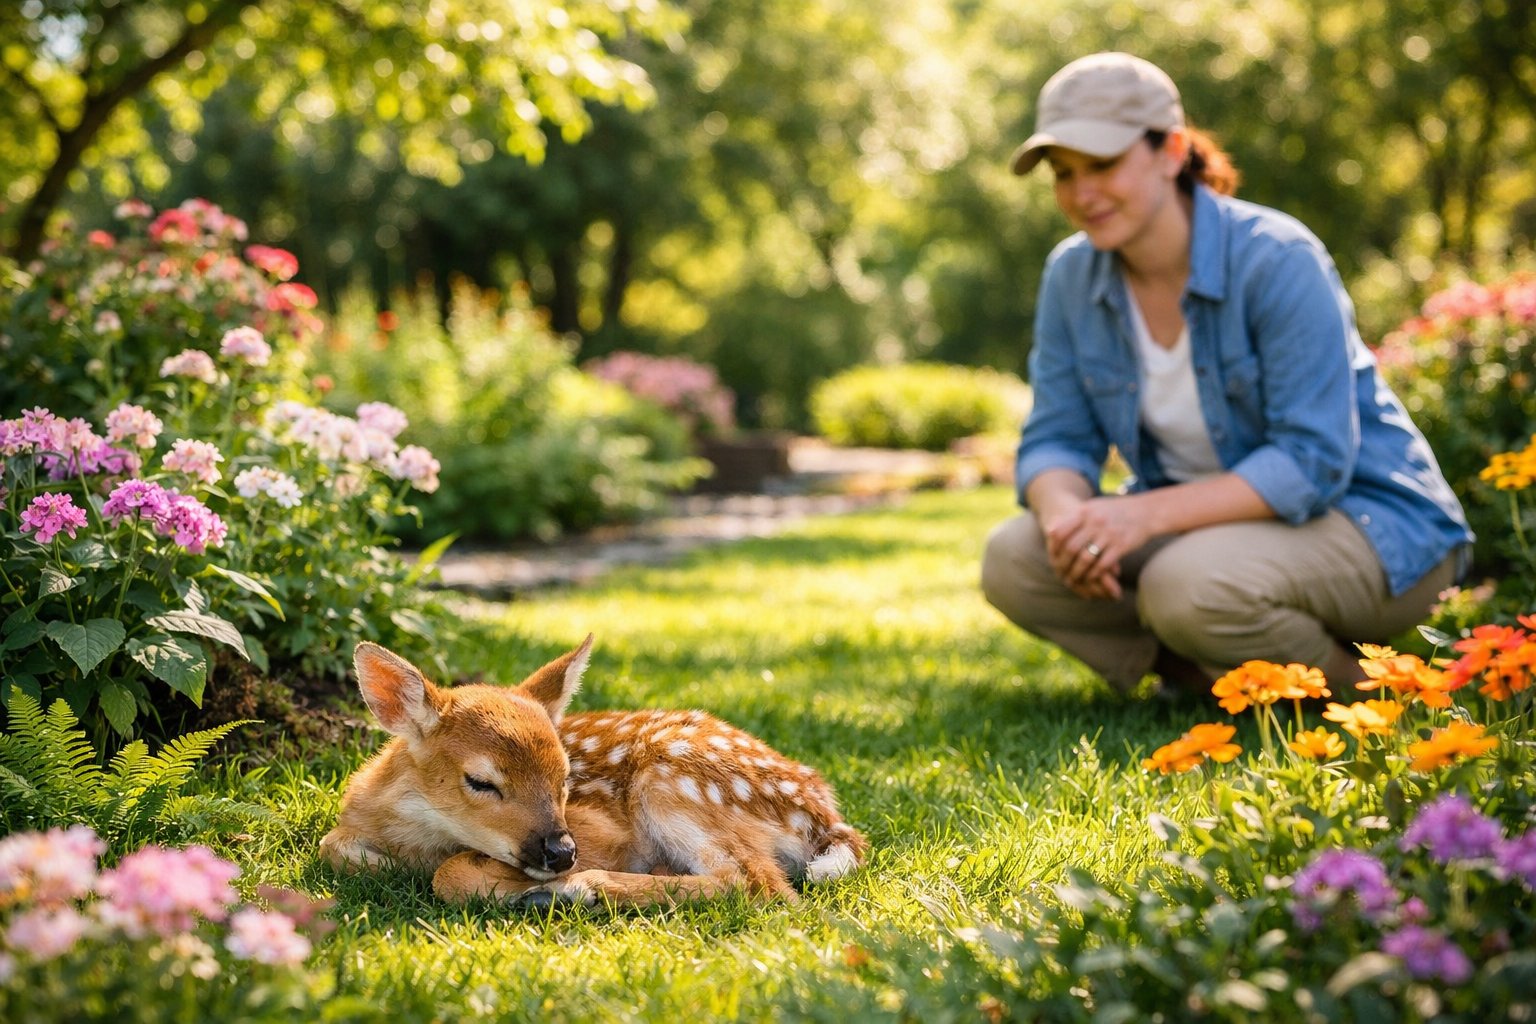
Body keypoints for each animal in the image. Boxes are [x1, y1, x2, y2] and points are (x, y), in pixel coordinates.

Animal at [319, 636, 867, 907]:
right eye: (480, 781)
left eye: (566, 777)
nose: (562, 852)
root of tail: (827, 817)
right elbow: (331, 846)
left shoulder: (603, 832)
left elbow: (449, 873)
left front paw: (529, 890)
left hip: (671, 780)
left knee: (758, 883)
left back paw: (579, 891)